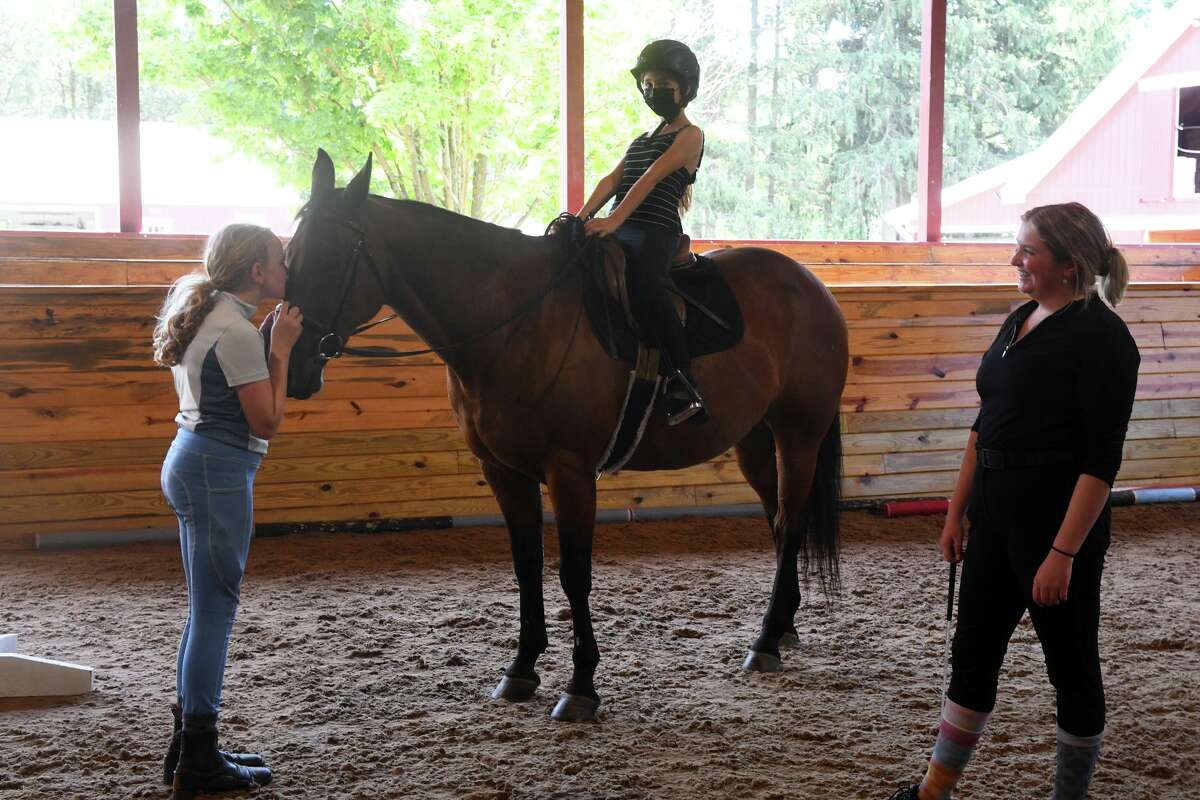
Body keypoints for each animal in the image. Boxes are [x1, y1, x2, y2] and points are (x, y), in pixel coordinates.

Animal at [282, 149, 849, 722]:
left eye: (330, 259)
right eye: (290, 257)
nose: (294, 364)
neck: (516, 321)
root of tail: (810, 285)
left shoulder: (570, 472)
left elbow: (574, 573)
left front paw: (580, 686)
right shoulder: (503, 471)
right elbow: (526, 565)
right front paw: (521, 668)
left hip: (798, 434)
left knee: (792, 523)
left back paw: (766, 642)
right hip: (754, 440)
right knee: (779, 521)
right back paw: (783, 627)